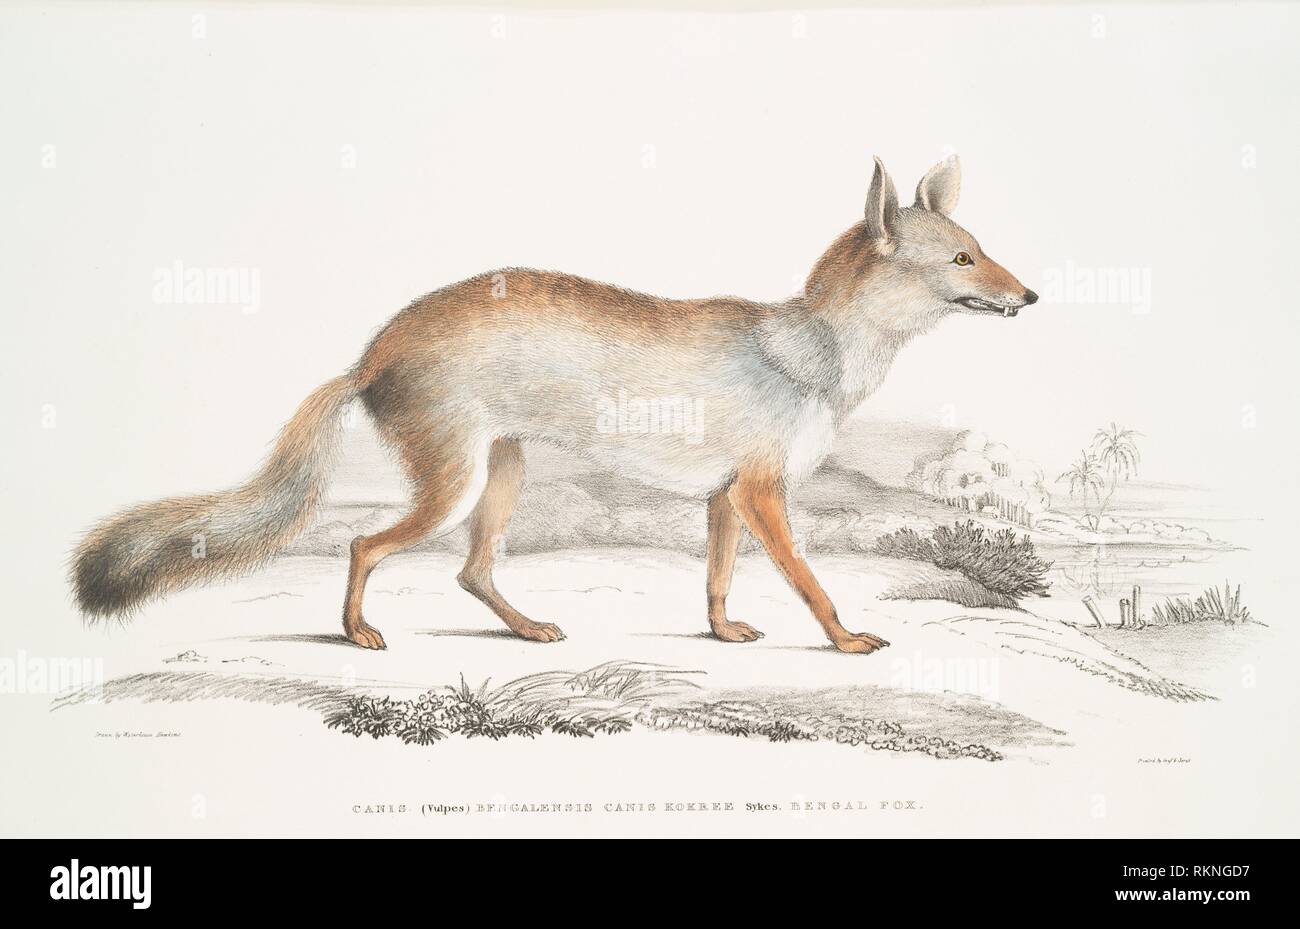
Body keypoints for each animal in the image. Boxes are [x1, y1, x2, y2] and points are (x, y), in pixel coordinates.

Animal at [72, 155, 1036, 655]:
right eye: (962, 259)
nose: (1029, 296)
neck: (811, 352)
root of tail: (367, 356)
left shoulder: (729, 496)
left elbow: (719, 580)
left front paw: (723, 632)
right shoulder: (766, 493)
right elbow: (811, 582)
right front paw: (845, 640)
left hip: (503, 472)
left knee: (470, 570)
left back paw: (529, 628)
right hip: (455, 485)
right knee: (362, 543)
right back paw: (357, 633)